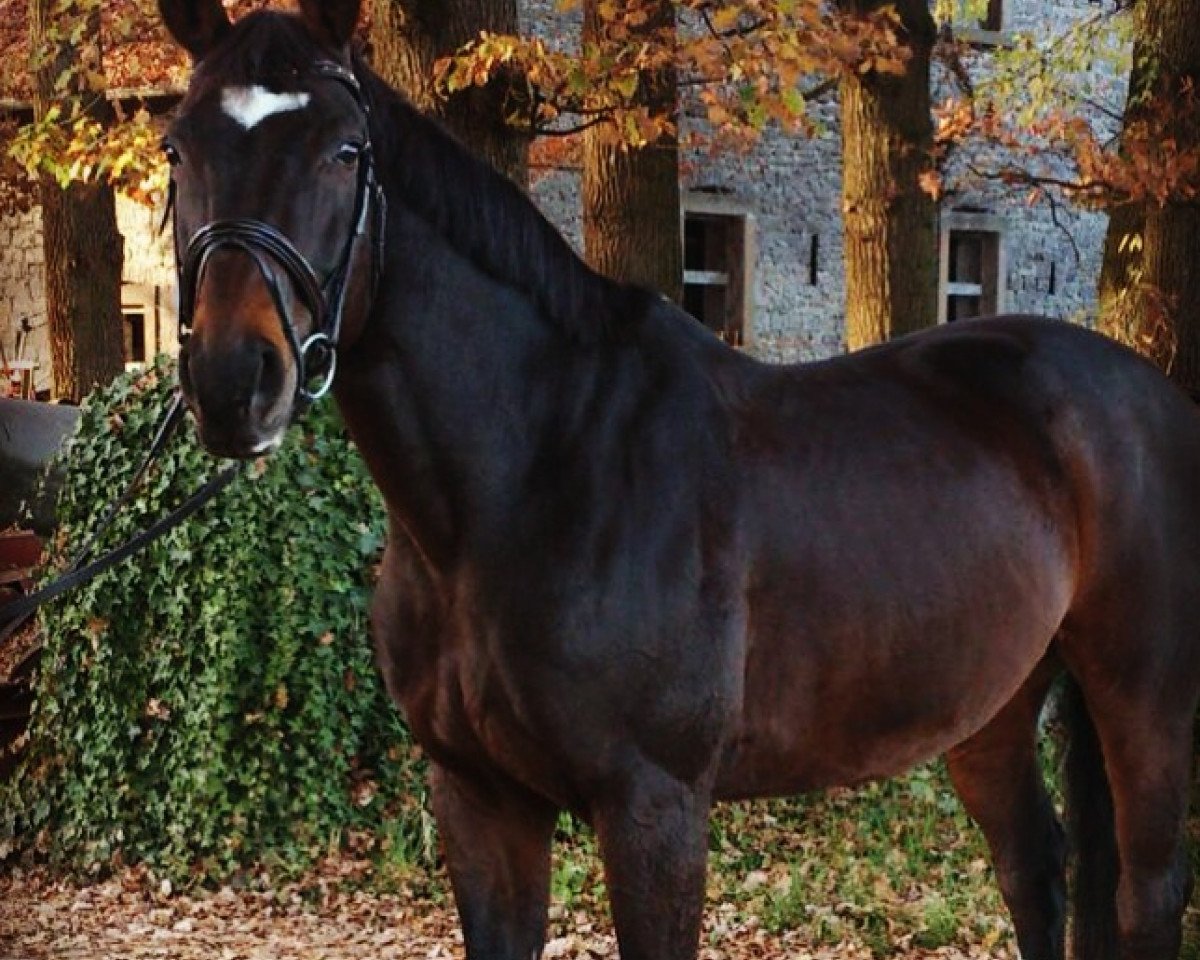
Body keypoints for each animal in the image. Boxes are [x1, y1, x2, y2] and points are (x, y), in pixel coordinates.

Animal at [157, 1, 1200, 957]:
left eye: (343, 150)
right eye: (176, 148)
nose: (233, 380)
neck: (531, 476)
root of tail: (1150, 394)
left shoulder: (654, 807)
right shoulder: (480, 800)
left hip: (1142, 700)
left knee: (1146, 891)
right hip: (992, 705)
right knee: (1037, 869)